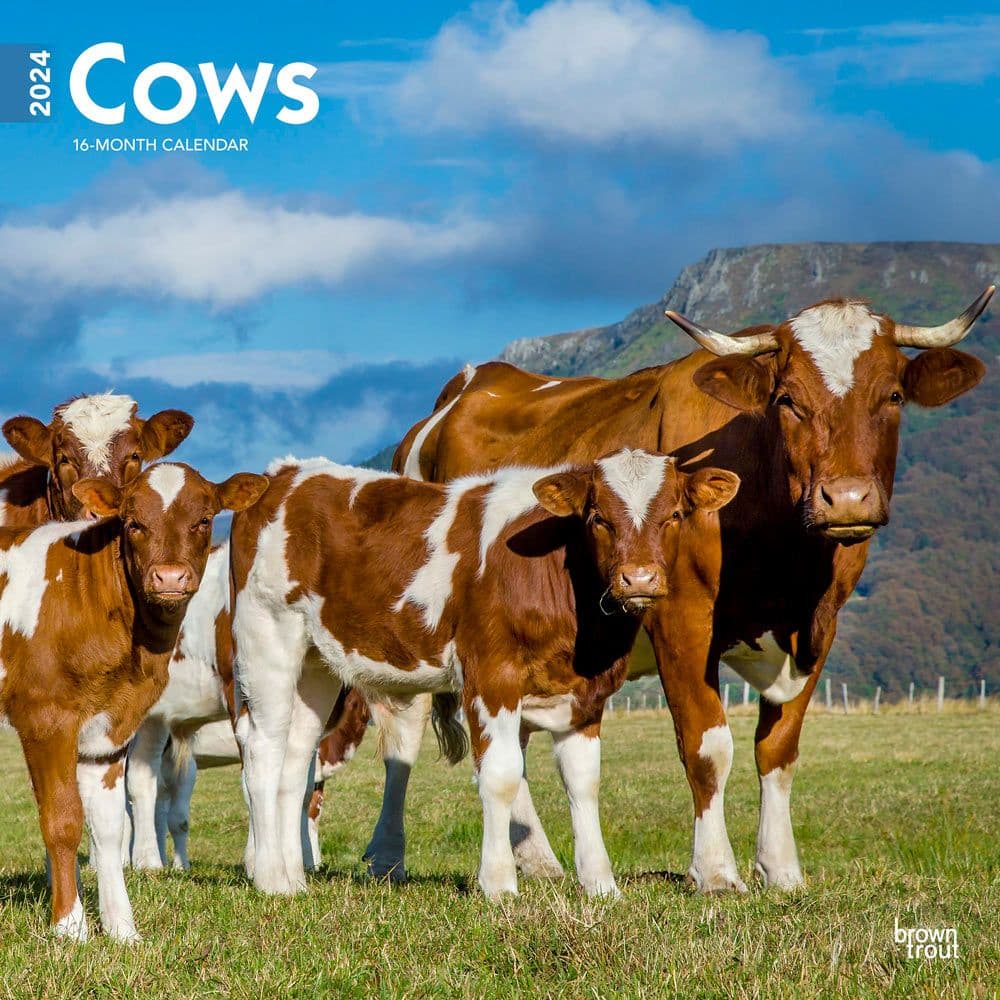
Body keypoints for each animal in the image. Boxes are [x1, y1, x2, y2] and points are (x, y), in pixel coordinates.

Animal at [0, 462, 266, 940]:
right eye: (133, 523)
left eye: (203, 520)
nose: (170, 577)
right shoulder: (45, 717)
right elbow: (62, 821)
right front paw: (70, 928)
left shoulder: (111, 728)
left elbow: (110, 829)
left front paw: (123, 930)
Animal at [230, 450, 739, 898]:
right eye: (597, 517)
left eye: (675, 514)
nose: (639, 579)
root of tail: (283, 474)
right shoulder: (492, 677)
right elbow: (501, 775)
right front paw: (498, 884)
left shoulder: (585, 696)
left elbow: (584, 783)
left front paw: (601, 885)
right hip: (266, 635)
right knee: (262, 751)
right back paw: (270, 879)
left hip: (316, 663)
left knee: (296, 758)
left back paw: (294, 878)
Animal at [380, 286, 992, 893]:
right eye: (787, 399)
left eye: (893, 395)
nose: (845, 500)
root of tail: (466, 385)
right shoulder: (681, 619)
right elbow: (707, 745)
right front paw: (716, 870)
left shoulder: (822, 627)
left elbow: (778, 748)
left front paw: (781, 868)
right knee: (404, 739)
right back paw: (387, 857)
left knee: (515, 741)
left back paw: (539, 861)